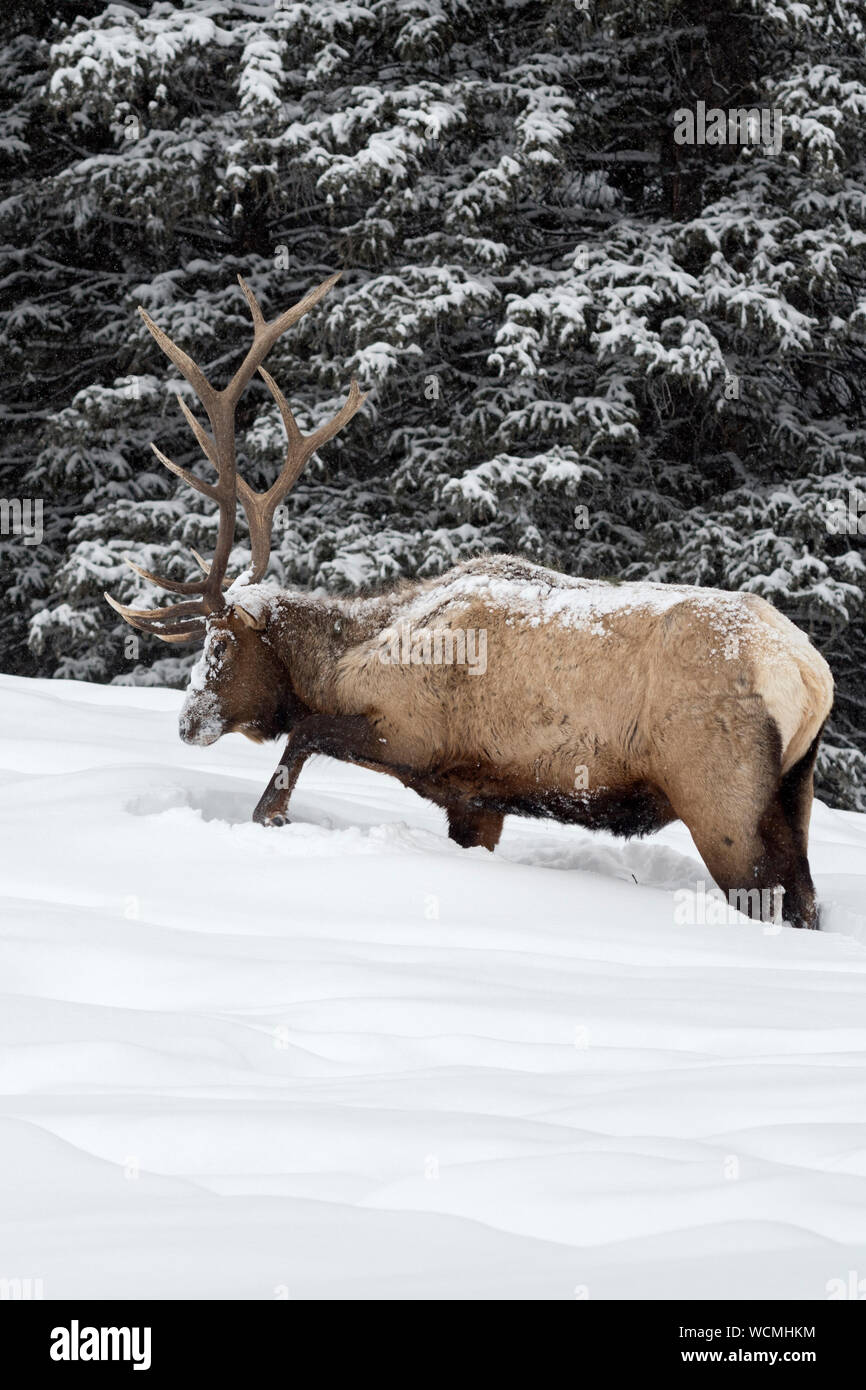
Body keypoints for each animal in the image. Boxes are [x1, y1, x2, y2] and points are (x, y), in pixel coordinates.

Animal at [106, 274, 834, 930]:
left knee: (764, 896)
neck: (350, 659)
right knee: (804, 902)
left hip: (718, 792)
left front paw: (272, 817)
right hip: (793, 791)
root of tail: (809, 674)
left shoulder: (414, 730)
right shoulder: (478, 794)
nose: (187, 723)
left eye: (220, 644)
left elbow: (302, 737)